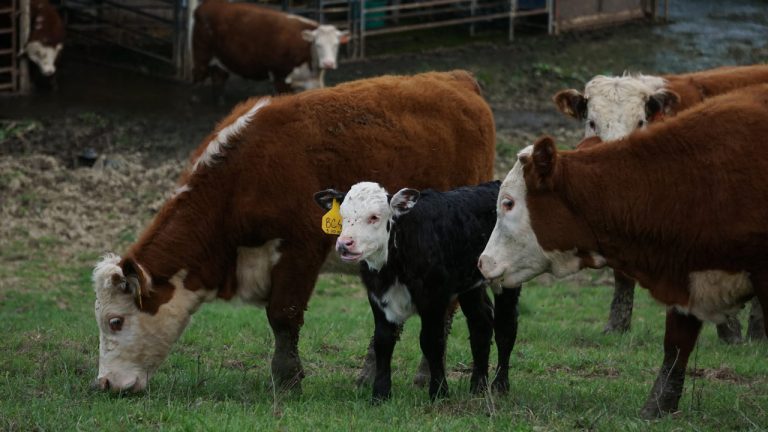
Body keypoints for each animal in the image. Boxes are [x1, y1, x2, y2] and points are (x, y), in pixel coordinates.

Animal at [91, 70, 496, 394]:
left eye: (115, 321)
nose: (106, 383)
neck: (240, 180)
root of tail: (457, 79)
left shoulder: (299, 250)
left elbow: (283, 316)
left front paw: (286, 380)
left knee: (443, 313)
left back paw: (424, 376)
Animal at [192, 0, 349, 94]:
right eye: (318, 44)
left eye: (336, 45)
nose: (328, 63)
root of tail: (206, 5)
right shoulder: (280, 78)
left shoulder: (311, 83)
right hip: (201, 56)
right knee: (198, 79)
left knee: (218, 77)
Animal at [313, 181, 520, 401]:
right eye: (343, 216)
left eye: (374, 217)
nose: (345, 244)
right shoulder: (378, 297)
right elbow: (383, 340)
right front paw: (380, 394)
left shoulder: (434, 298)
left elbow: (432, 341)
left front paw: (439, 392)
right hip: (470, 286)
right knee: (481, 323)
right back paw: (478, 387)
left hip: (508, 279)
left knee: (506, 327)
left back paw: (500, 386)